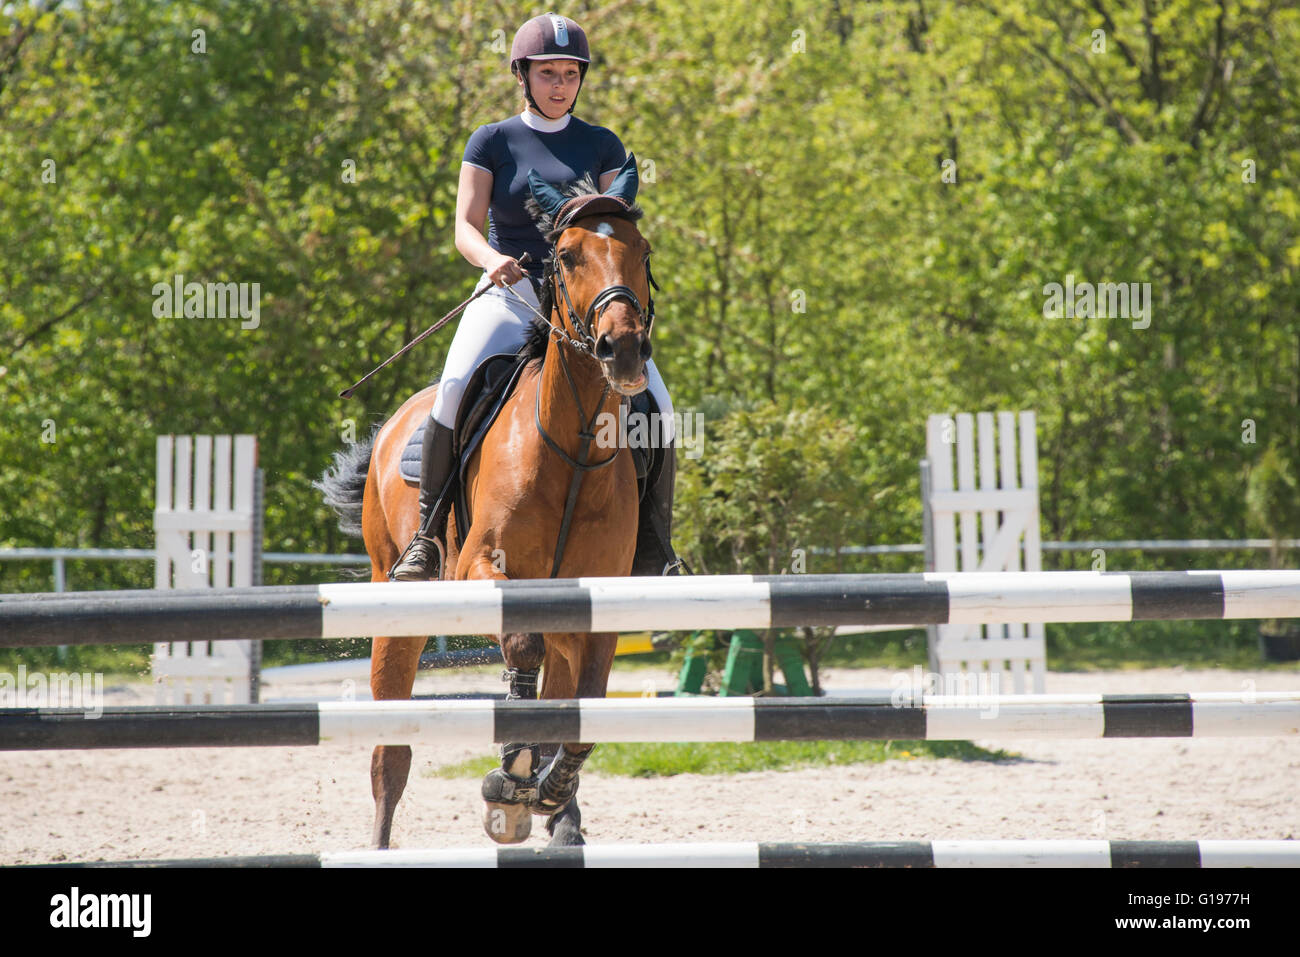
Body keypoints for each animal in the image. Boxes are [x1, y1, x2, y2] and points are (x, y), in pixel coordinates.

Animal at [318, 155, 658, 848]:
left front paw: (549, 789)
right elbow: (522, 645)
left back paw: (556, 812)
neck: (572, 451)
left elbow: (586, 700)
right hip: (400, 604)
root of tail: (393, 424)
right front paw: (515, 773)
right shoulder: (485, 566)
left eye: (641, 251)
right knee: (390, 755)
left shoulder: (598, 600)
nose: (624, 349)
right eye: (567, 256)